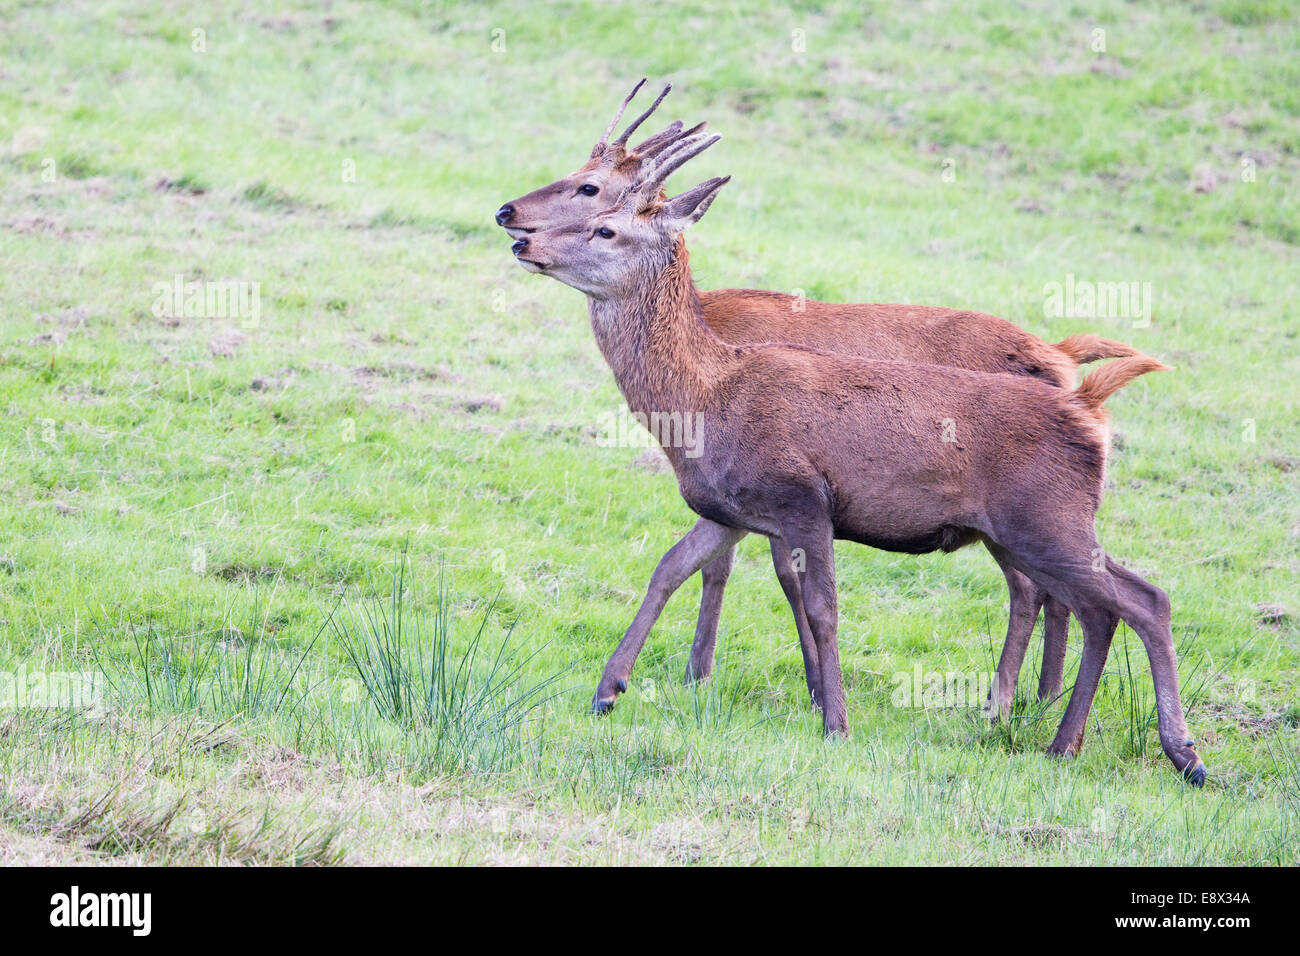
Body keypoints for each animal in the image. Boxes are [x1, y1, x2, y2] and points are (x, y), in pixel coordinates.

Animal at [508, 130, 1206, 785]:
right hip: (1025, 528)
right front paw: (608, 690)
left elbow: (822, 607)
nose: (521, 238)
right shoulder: (737, 508)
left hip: (1047, 518)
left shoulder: (803, 497)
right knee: (1108, 604)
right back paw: (1071, 740)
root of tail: (1087, 402)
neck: (702, 402)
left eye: (603, 220)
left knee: (1134, 600)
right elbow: (672, 566)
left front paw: (835, 722)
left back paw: (1167, 750)